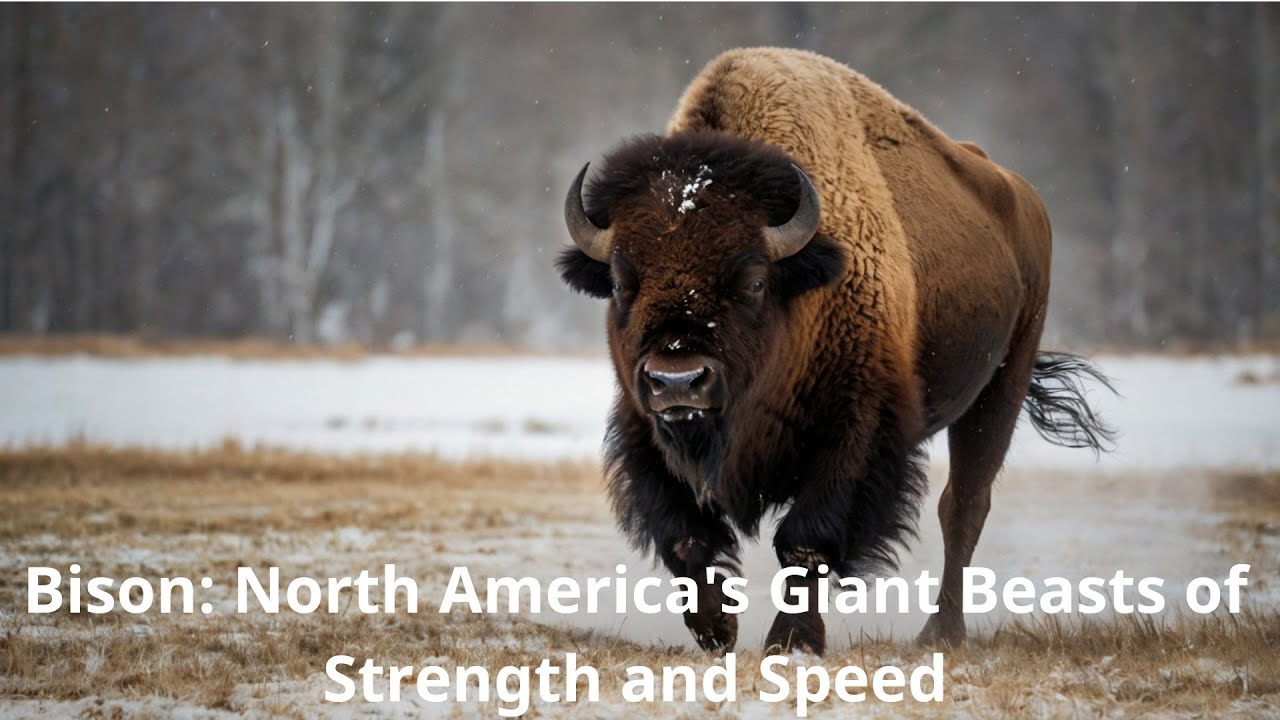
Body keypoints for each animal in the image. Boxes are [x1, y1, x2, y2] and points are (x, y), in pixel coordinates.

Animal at [557, 47, 1113, 654]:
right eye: (620, 282)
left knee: (964, 505)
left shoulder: (856, 429)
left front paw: (791, 641)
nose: (678, 379)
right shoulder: (646, 430)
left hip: (1001, 385)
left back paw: (940, 634)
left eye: (753, 280)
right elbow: (687, 538)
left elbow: (806, 540)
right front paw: (716, 631)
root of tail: (1021, 198)